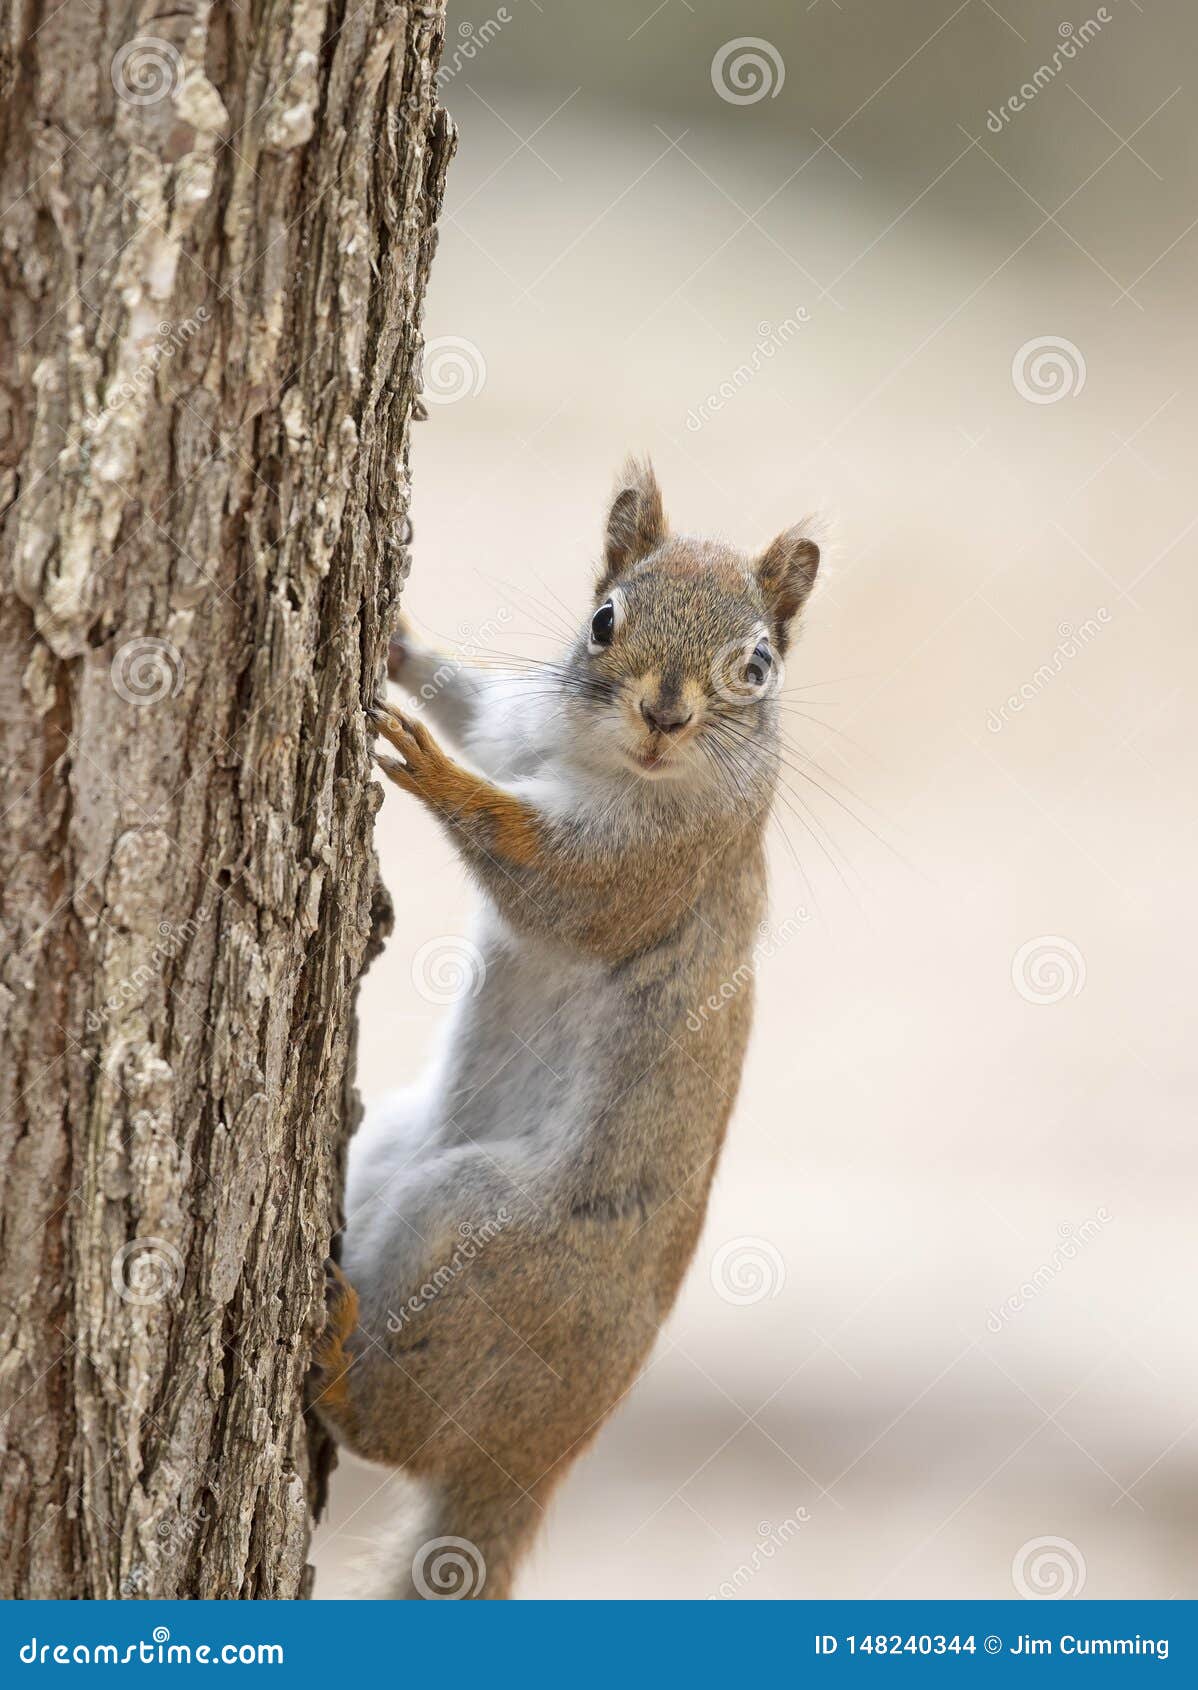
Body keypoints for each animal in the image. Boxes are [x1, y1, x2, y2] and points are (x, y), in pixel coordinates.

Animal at [311, 459, 820, 1599]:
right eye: (602, 620)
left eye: (757, 667)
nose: (666, 713)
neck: (614, 767)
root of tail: (536, 1463)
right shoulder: (521, 724)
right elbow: (471, 707)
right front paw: (399, 641)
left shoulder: (655, 871)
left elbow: (545, 879)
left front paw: (437, 777)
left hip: (473, 1237)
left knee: (391, 1431)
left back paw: (334, 1369)